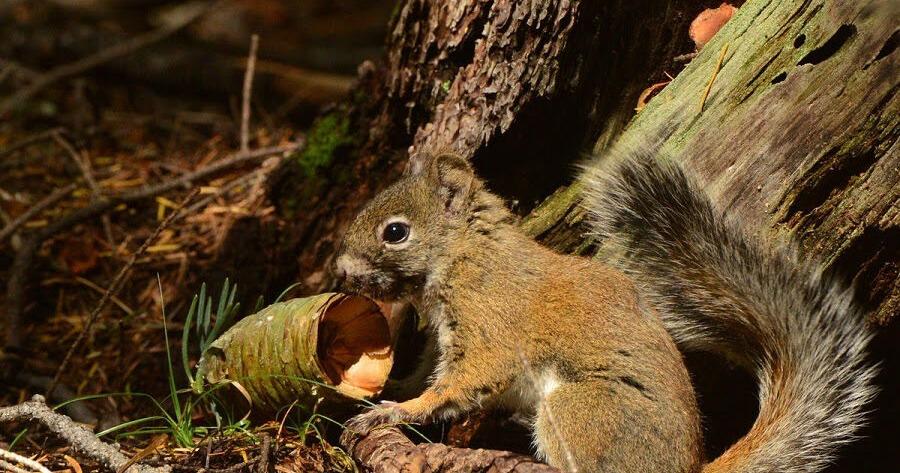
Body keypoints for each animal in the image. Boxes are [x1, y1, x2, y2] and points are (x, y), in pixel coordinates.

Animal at [333, 146, 876, 473]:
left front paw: (394, 413)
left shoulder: (490, 322)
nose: (339, 271)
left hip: (580, 411)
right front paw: (389, 391)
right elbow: (425, 371)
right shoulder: (443, 336)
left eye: (396, 231)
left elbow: (461, 383)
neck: (467, 254)